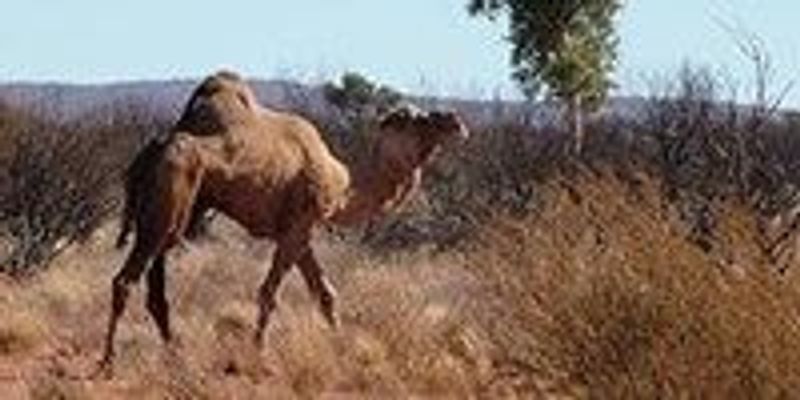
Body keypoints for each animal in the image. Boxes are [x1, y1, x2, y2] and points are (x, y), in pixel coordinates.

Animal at [100, 71, 469, 370]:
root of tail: (150, 150)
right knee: (124, 281)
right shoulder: (298, 226)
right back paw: (108, 362)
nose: (455, 121)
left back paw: (175, 357)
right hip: (166, 207)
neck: (344, 185)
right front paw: (257, 354)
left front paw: (340, 347)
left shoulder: (300, 232)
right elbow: (269, 292)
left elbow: (325, 293)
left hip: (166, 216)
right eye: (410, 118)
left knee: (155, 292)